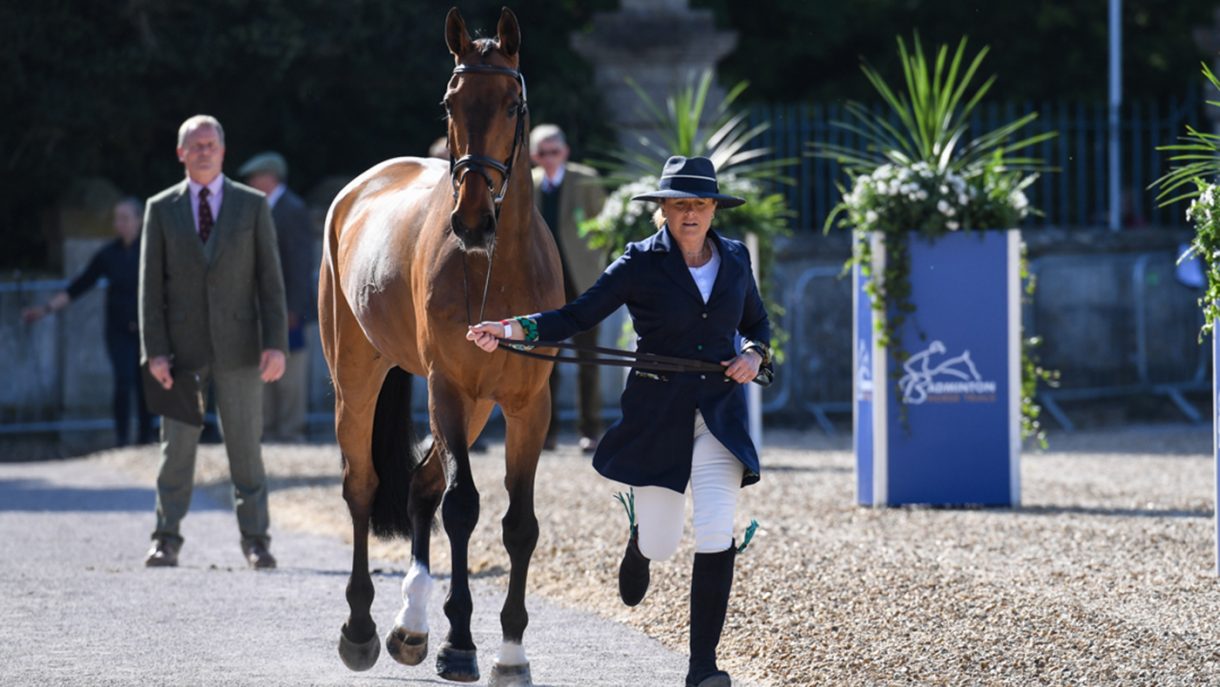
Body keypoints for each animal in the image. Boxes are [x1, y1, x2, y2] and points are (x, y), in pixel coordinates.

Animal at [318, 7, 563, 685]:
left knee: (420, 485)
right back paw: (361, 628)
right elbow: (463, 507)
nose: (473, 219)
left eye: (511, 104)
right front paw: (460, 643)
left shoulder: (528, 404)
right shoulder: (448, 389)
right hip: (357, 379)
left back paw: (411, 625)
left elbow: (519, 525)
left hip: (479, 405)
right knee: (364, 485)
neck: (494, 269)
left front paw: (510, 652)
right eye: (450, 103)